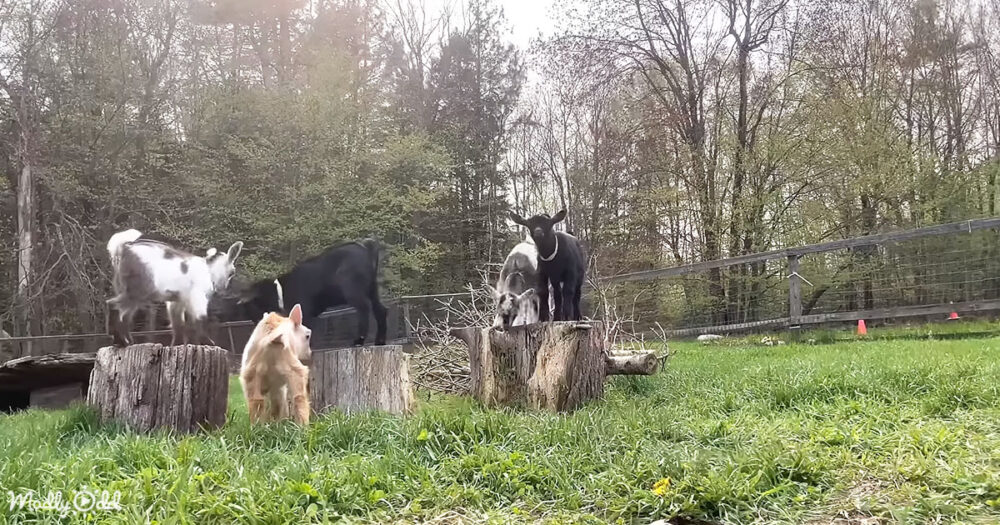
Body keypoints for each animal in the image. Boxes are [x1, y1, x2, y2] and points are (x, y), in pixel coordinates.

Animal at [106, 229, 243, 346]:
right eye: (232, 272)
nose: (222, 290)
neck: (209, 271)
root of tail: (123, 249)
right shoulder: (197, 296)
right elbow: (200, 318)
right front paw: (207, 342)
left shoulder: (178, 300)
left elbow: (178, 323)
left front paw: (178, 344)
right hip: (139, 288)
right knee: (114, 305)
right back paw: (120, 341)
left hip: (126, 288)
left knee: (125, 314)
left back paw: (126, 341)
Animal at [235, 239, 387, 346]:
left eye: (250, 308)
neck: (280, 292)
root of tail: (366, 248)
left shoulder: (304, 312)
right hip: (372, 289)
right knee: (381, 310)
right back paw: (380, 341)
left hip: (353, 290)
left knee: (364, 308)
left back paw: (359, 340)